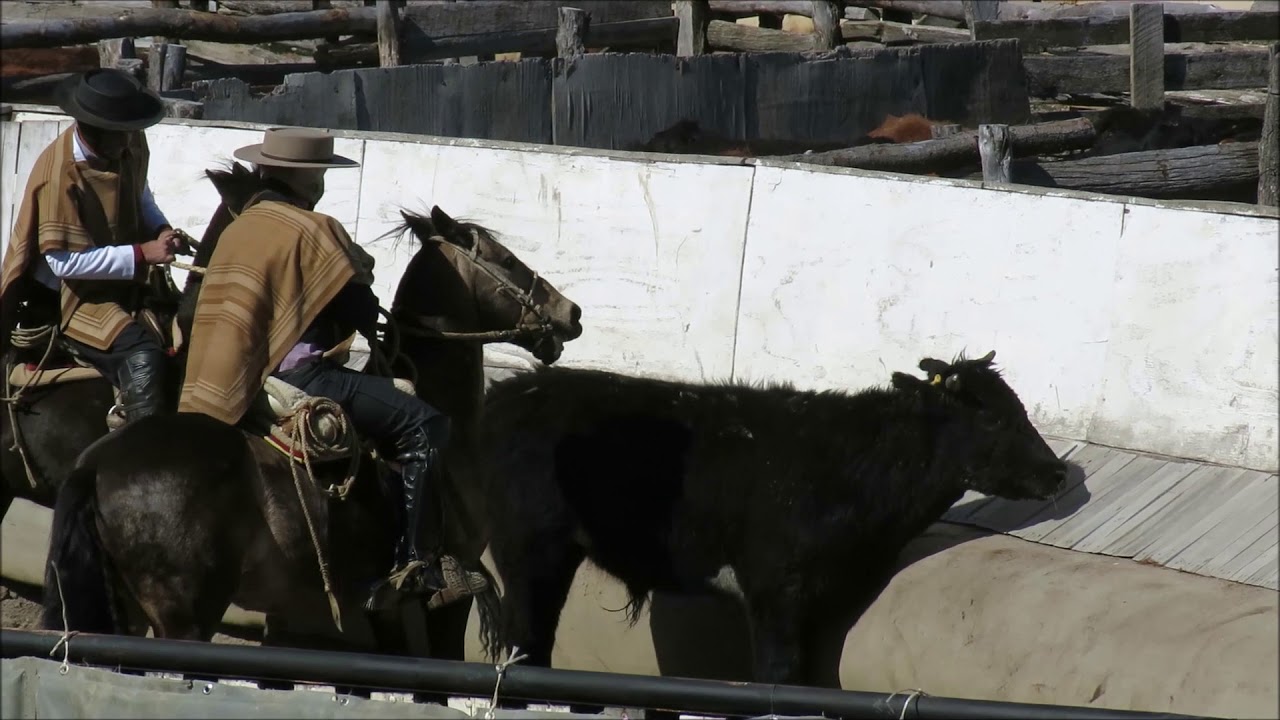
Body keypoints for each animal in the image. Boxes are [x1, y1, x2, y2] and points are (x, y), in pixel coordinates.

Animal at [40, 197, 583, 659]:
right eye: (506, 259)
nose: (570, 313)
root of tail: (97, 465)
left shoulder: (380, 606)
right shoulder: (453, 595)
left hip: (127, 609)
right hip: (185, 618)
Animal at [475, 350, 1068, 685]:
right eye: (992, 418)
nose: (1057, 472)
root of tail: (508, 391)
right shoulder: (773, 591)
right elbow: (777, 677)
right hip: (532, 552)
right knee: (526, 648)